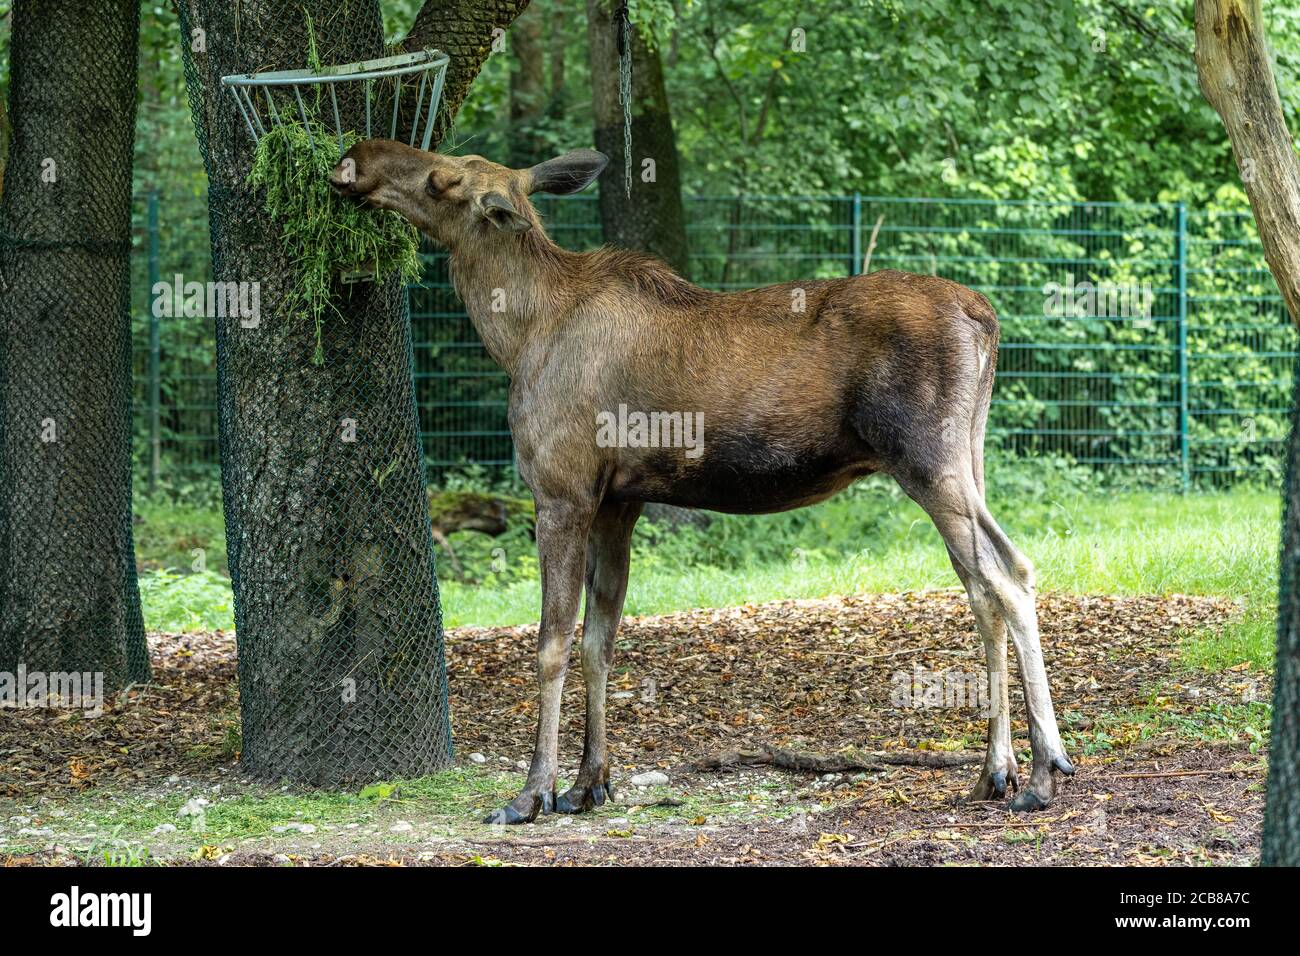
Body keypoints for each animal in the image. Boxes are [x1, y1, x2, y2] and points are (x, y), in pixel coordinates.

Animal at [329, 140, 1075, 824]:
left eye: (442, 177)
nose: (354, 157)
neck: (515, 334)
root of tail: (986, 317)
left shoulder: (561, 491)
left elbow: (551, 643)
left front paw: (531, 793)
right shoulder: (618, 502)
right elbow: (600, 640)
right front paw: (589, 783)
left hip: (926, 460)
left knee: (1009, 575)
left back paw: (1044, 770)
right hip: (965, 461)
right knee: (984, 584)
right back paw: (994, 771)